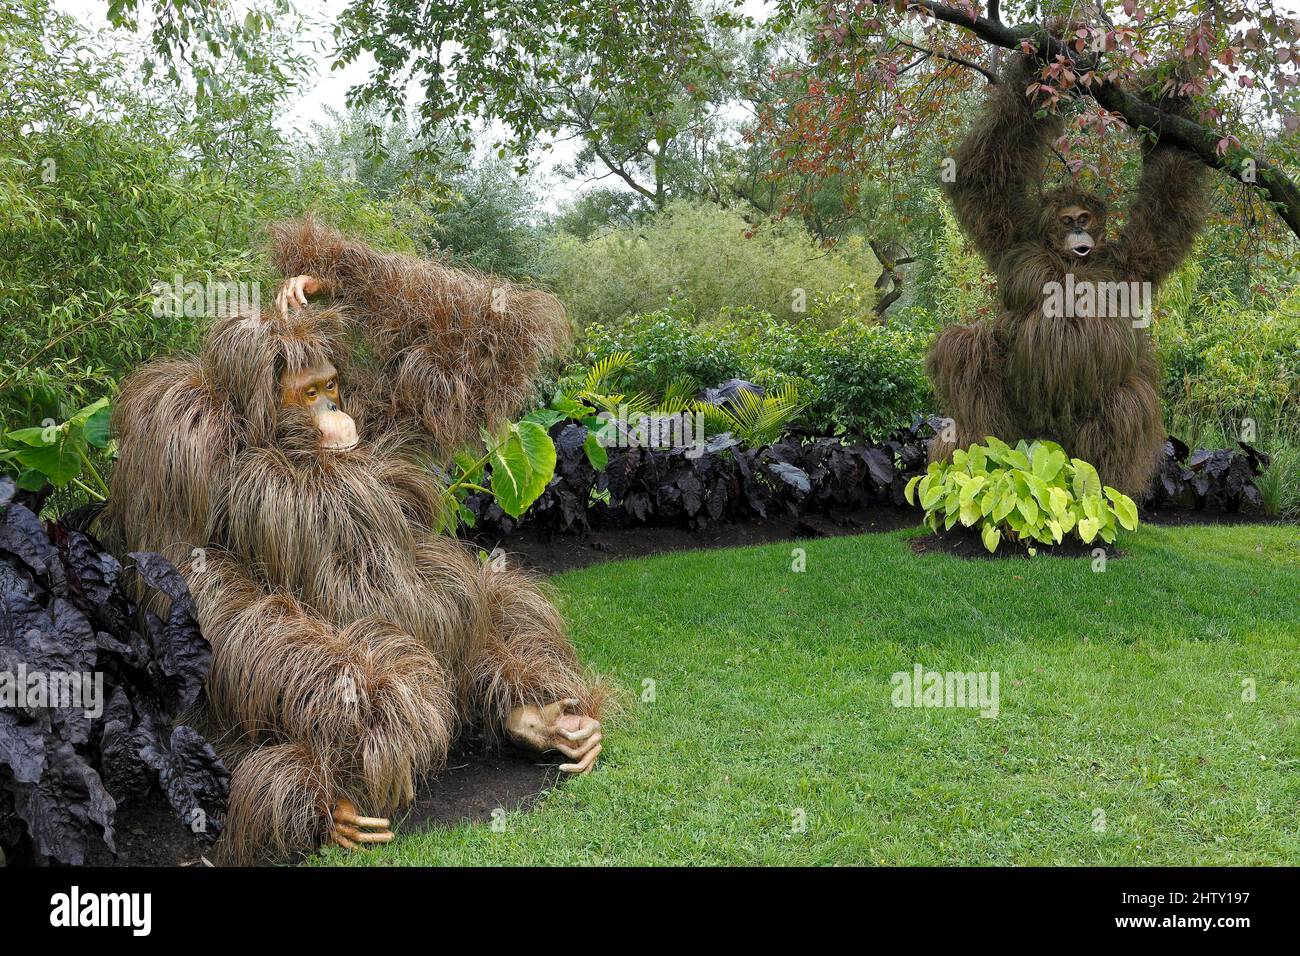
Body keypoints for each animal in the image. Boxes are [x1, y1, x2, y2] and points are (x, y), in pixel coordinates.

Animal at [99, 219, 607, 863]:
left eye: (331, 385)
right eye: (307, 393)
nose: (334, 412)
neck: (270, 435)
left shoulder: (382, 413)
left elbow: (462, 360)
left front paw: (313, 280)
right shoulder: (177, 435)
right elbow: (197, 573)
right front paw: (368, 696)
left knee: (495, 604)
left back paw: (536, 717)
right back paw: (325, 798)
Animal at [927, 52, 1210, 498]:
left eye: (1085, 218)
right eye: (1067, 220)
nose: (1079, 230)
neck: (1071, 263)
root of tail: (1047, 435)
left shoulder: (1128, 263)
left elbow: (1167, 201)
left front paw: (1174, 94)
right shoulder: (1016, 242)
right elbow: (985, 176)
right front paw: (1046, 56)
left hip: (1081, 424)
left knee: (1124, 406)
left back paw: (1105, 489)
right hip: (1016, 421)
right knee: (966, 348)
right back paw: (969, 451)